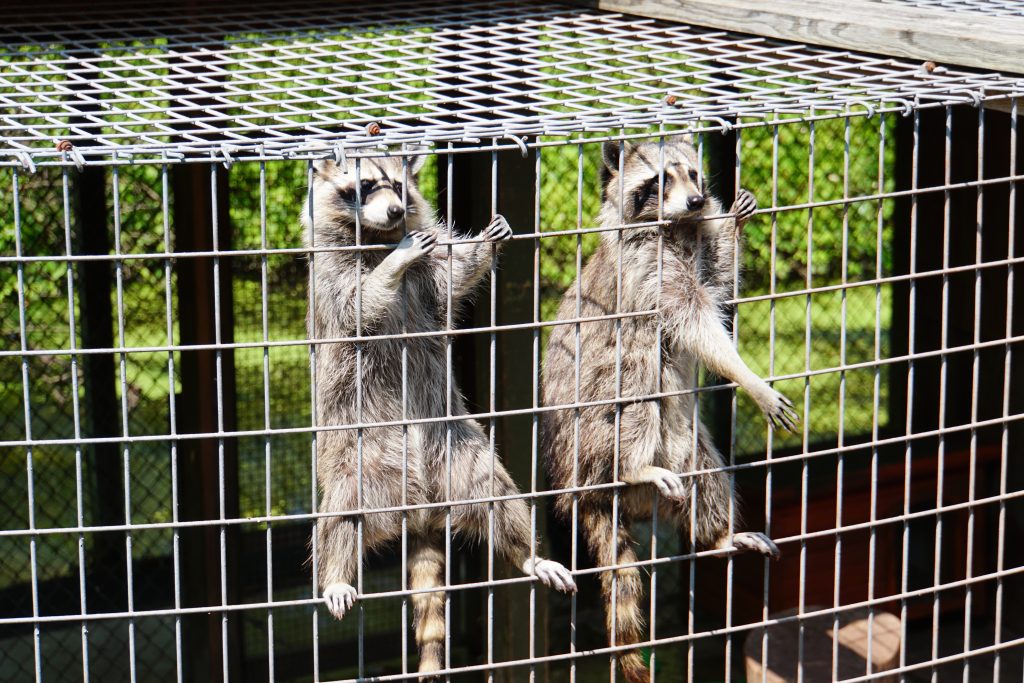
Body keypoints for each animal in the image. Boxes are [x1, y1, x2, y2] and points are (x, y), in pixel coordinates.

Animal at [305, 154, 576, 678]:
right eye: (363, 186)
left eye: (397, 186)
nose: (394, 211)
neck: (377, 238)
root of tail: (420, 510)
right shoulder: (330, 272)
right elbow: (358, 307)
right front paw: (393, 265)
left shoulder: (431, 275)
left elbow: (452, 278)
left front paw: (485, 244)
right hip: (358, 458)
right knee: (339, 516)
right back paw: (336, 575)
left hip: (458, 450)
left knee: (498, 495)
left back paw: (527, 554)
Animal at [541, 137, 797, 683]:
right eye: (659, 181)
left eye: (695, 175)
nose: (698, 201)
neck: (675, 229)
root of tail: (585, 494)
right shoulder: (647, 268)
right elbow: (696, 323)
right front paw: (748, 377)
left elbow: (718, 287)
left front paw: (732, 226)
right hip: (590, 436)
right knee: (637, 373)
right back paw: (634, 465)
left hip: (688, 454)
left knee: (708, 473)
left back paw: (719, 536)